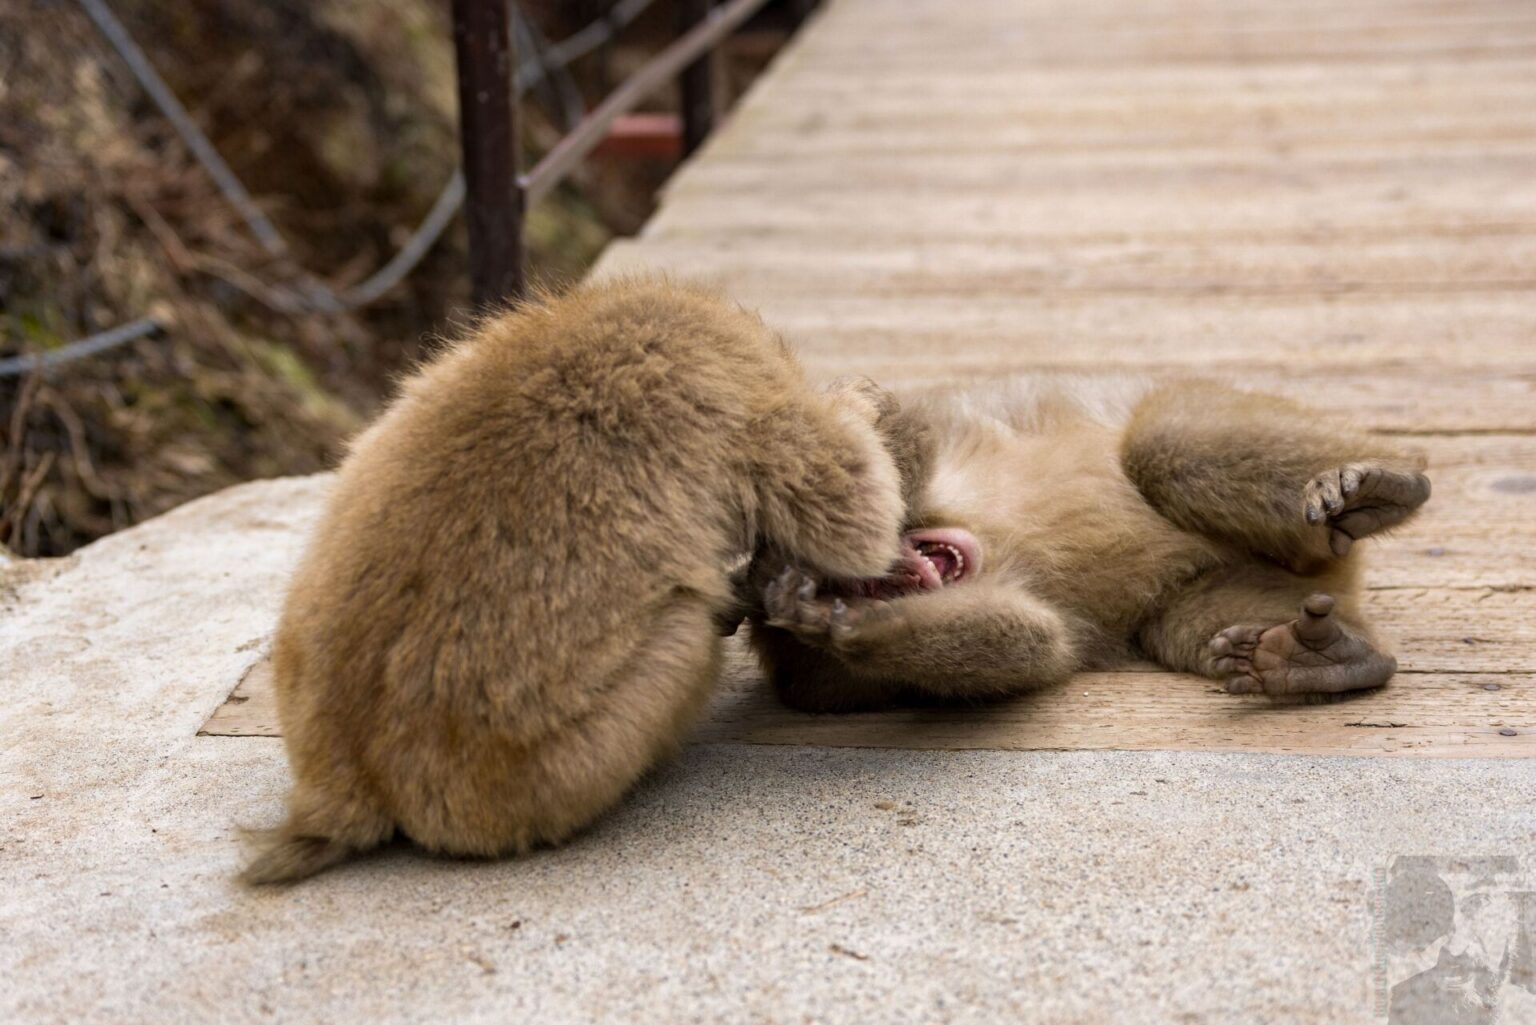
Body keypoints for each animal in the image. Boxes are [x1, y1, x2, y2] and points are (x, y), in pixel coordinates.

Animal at [240, 278, 908, 885]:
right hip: (556, 770)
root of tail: (346, 781)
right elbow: (858, 522)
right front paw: (862, 403)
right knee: (685, 627)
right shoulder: (749, 391)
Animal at [747, 377, 1432, 711]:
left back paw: (1385, 490)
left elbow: (900, 426)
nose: (895, 576)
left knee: (1164, 447)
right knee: (1181, 619)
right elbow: (1037, 641)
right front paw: (847, 628)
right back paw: (1323, 656)